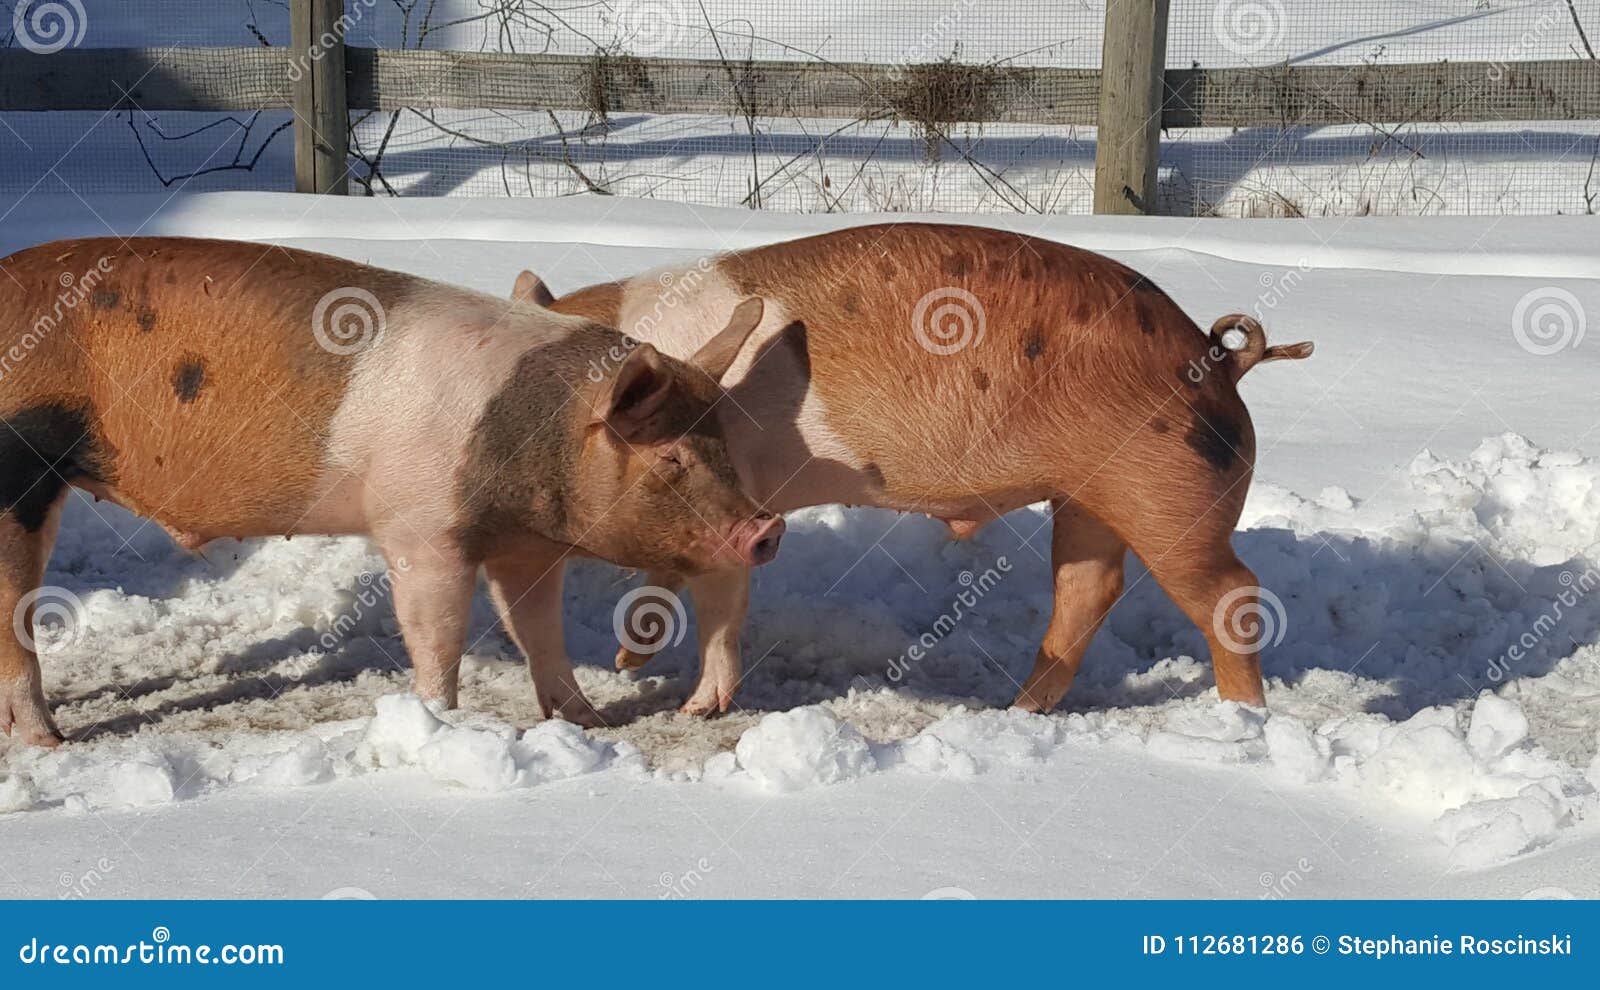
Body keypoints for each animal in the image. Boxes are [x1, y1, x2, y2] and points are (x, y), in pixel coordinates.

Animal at [0, 237, 783, 746]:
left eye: (722, 444)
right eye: (671, 455)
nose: (766, 529)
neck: (536, 438)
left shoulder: (525, 546)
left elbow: (538, 630)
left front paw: (583, 721)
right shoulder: (421, 531)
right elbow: (438, 635)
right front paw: (440, 720)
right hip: (20, 473)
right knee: (14, 615)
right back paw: (48, 741)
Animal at [513, 222, 1312, 715]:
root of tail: (1221, 360)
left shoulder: (747, 489)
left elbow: (718, 595)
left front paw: (679, 698)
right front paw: (628, 661)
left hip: (1166, 491)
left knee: (1232, 594)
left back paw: (1243, 719)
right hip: (1087, 498)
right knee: (1089, 589)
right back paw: (1019, 711)